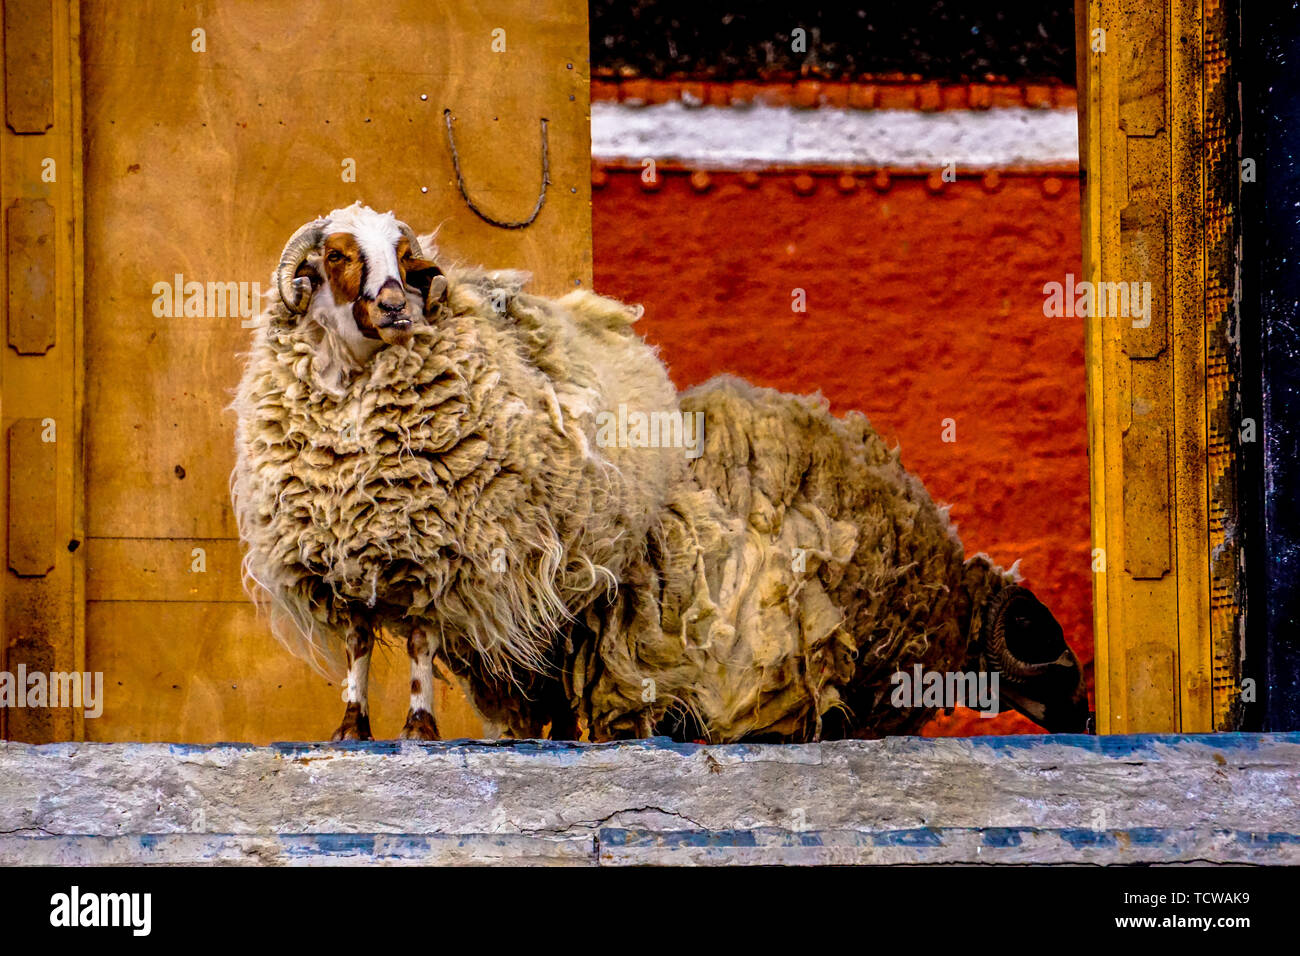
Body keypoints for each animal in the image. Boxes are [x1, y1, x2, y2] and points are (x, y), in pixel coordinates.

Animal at [232, 202, 1089, 743]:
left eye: (407, 262)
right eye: (335, 256)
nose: (396, 304)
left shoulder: (432, 560)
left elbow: (411, 643)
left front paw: (414, 731)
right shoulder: (346, 565)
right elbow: (358, 649)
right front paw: (352, 730)